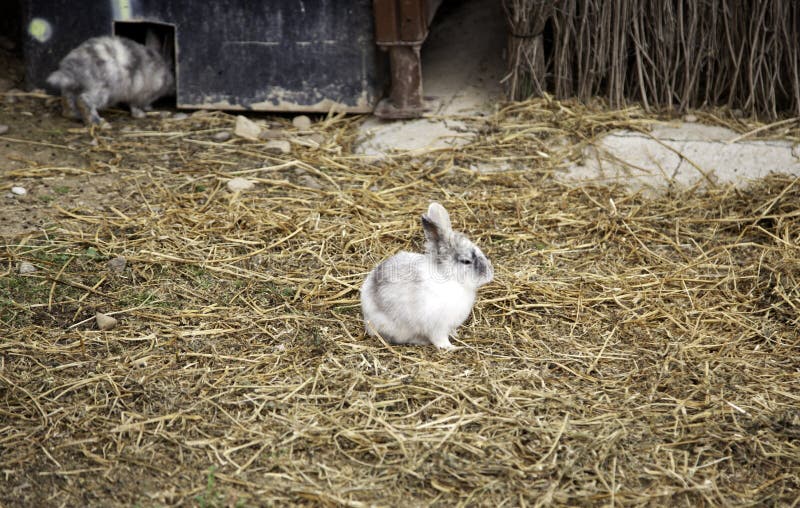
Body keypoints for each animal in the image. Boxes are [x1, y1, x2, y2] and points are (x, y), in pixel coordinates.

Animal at [46, 33, 174, 126]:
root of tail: (72, 70)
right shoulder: (140, 94)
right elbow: (135, 105)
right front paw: (141, 114)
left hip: (73, 87)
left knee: (68, 100)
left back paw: (74, 115)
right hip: (105, 93)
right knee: (83, 100)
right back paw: (98, 123)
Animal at [360, 202, 494, 350]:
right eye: (466, 261)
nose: (489, 273)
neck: (450, 278)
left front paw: (456, 335)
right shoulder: (438, 327)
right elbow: (440, 339)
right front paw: (450, 347)